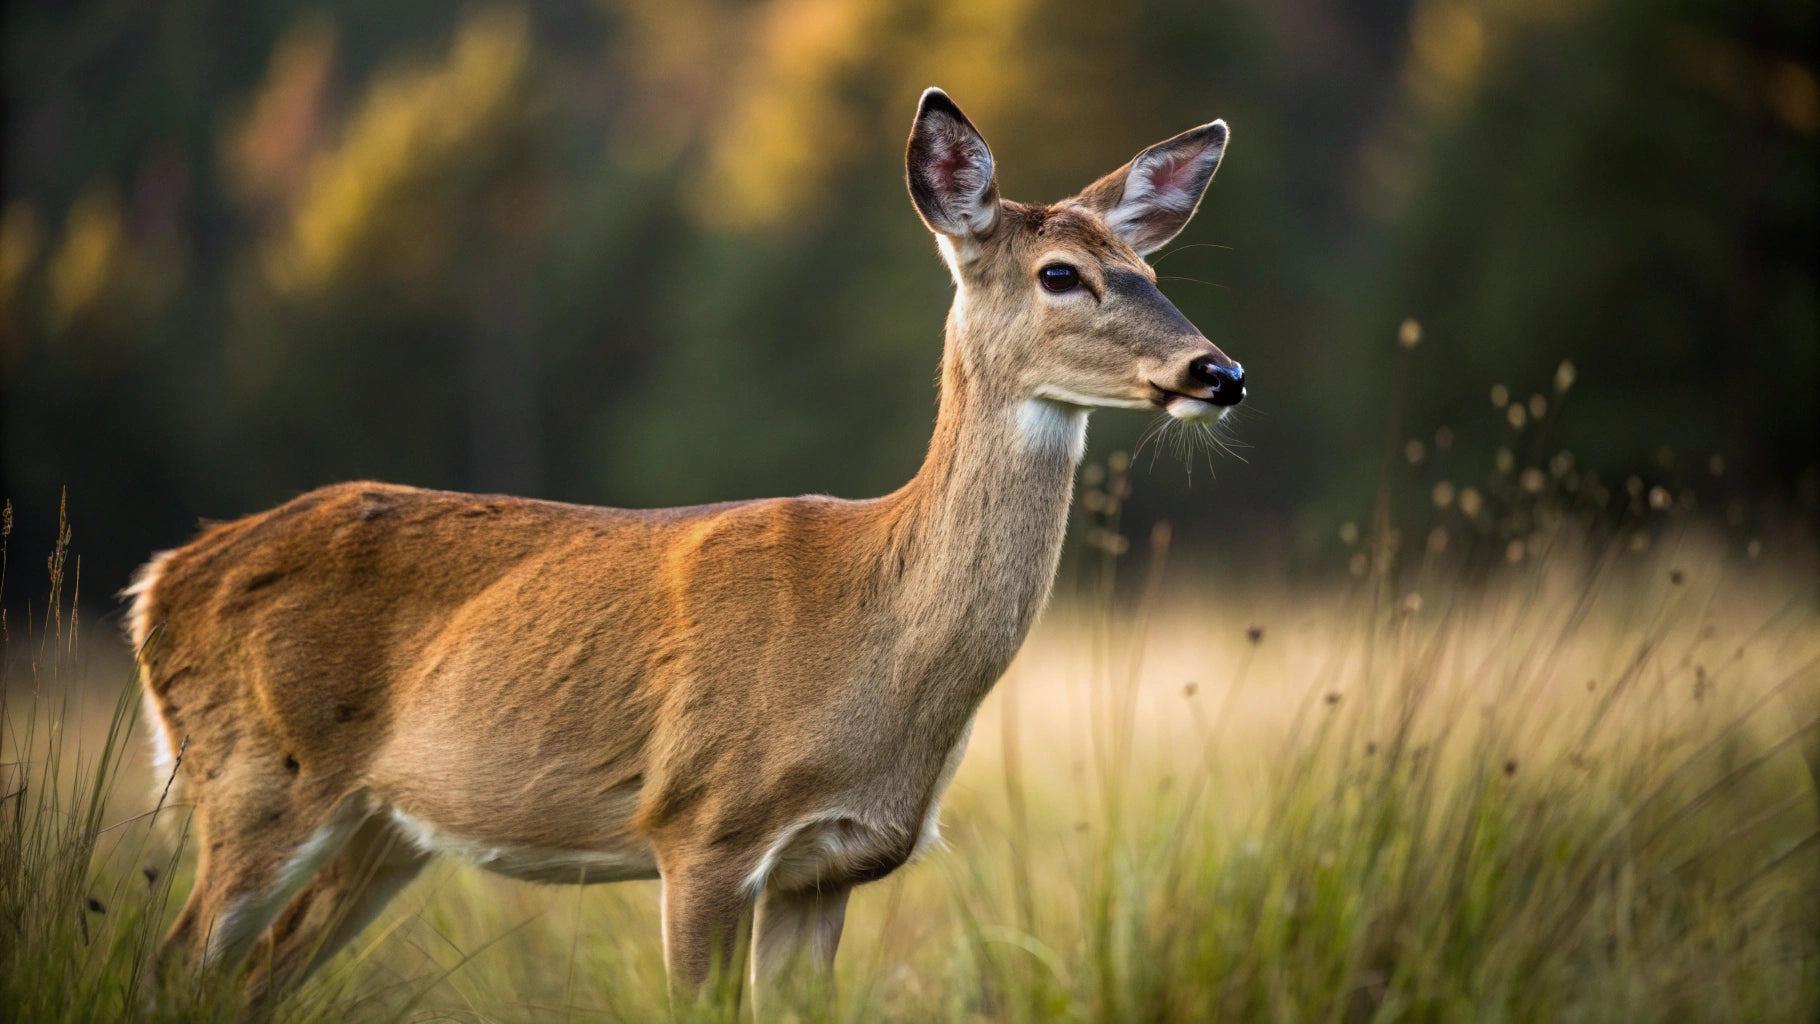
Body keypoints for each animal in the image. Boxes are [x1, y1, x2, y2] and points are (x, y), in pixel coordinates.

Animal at [125, 88, 1242, 1010]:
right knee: (170, 964)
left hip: (379, 831)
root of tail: (158, 582)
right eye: (1061, 275)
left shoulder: (828, 866)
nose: (1217, 371)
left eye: (1148, 270)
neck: (870, 633)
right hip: (255, 778)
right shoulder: (703, 827)